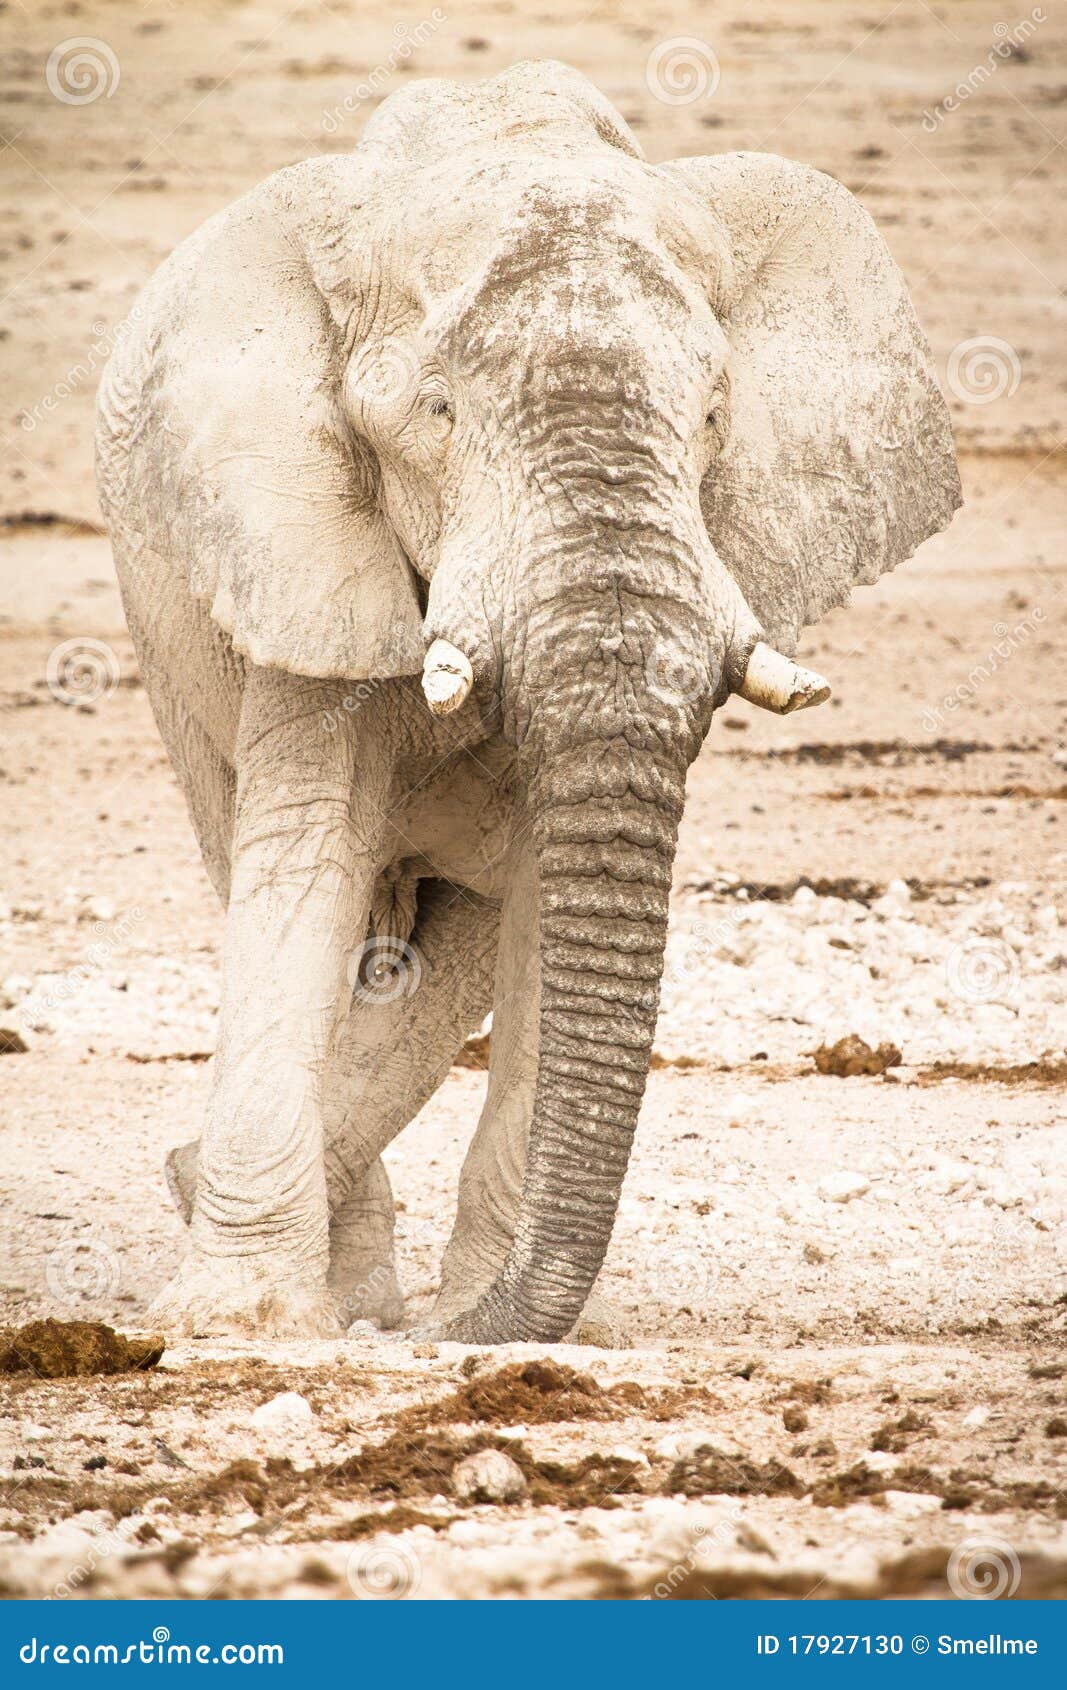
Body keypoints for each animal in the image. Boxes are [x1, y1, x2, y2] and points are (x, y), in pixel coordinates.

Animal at [94, 60, 960, 1345]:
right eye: (437, 415)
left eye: (712, 415)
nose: (437, 1336)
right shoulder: (301, 547)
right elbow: (310, 860)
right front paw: (237, 1318)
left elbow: (543, 887)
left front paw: (491, 1318)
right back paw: (329, 1270)